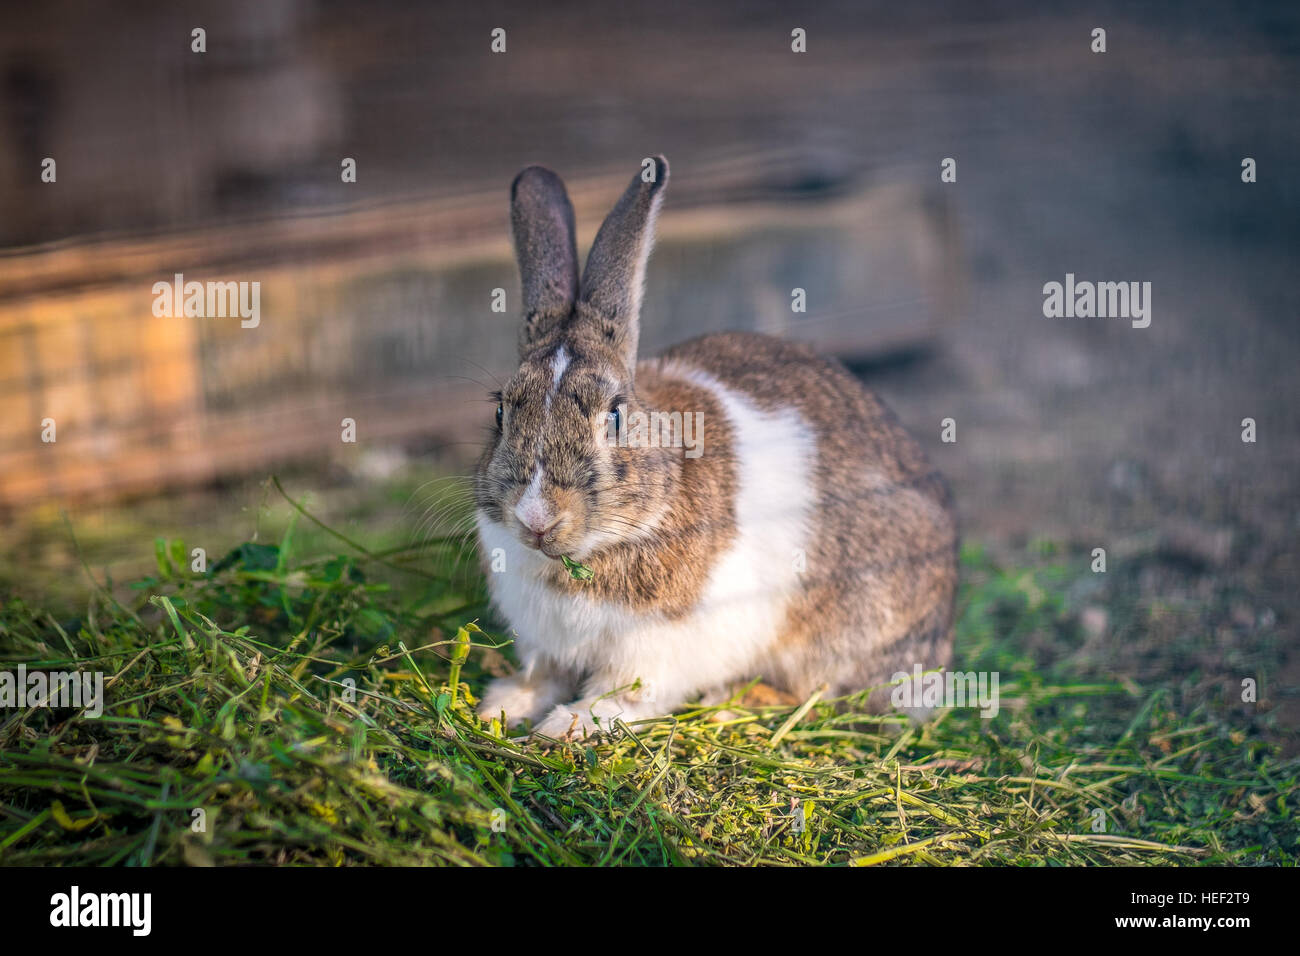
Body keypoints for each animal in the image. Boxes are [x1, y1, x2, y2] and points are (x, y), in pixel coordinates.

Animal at [475, 155, 958, 739]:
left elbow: (625, 696)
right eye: (501, 412)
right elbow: (541, 675)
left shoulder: (655, 649)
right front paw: (503, 704)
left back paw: (733, 702)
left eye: (614, 416)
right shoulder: (543, 642)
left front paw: (568, 725)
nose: (537, 518)